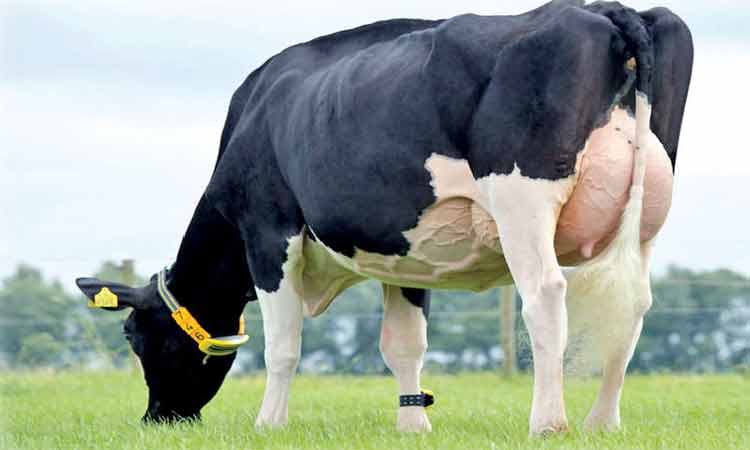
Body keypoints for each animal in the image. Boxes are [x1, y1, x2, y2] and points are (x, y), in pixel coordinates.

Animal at [75, 0, 692, 436]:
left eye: (134, 335)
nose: (158, 419)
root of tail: (603, 9)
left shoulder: (268, 229)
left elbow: (283, 344)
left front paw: (269, 423)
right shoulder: (408, 255)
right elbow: (404, 344)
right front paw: (413, 424)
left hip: (523, 199)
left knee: (544, 295)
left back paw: (549, 422)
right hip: (647, 216)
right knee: (634, 308)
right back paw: (602, 421)